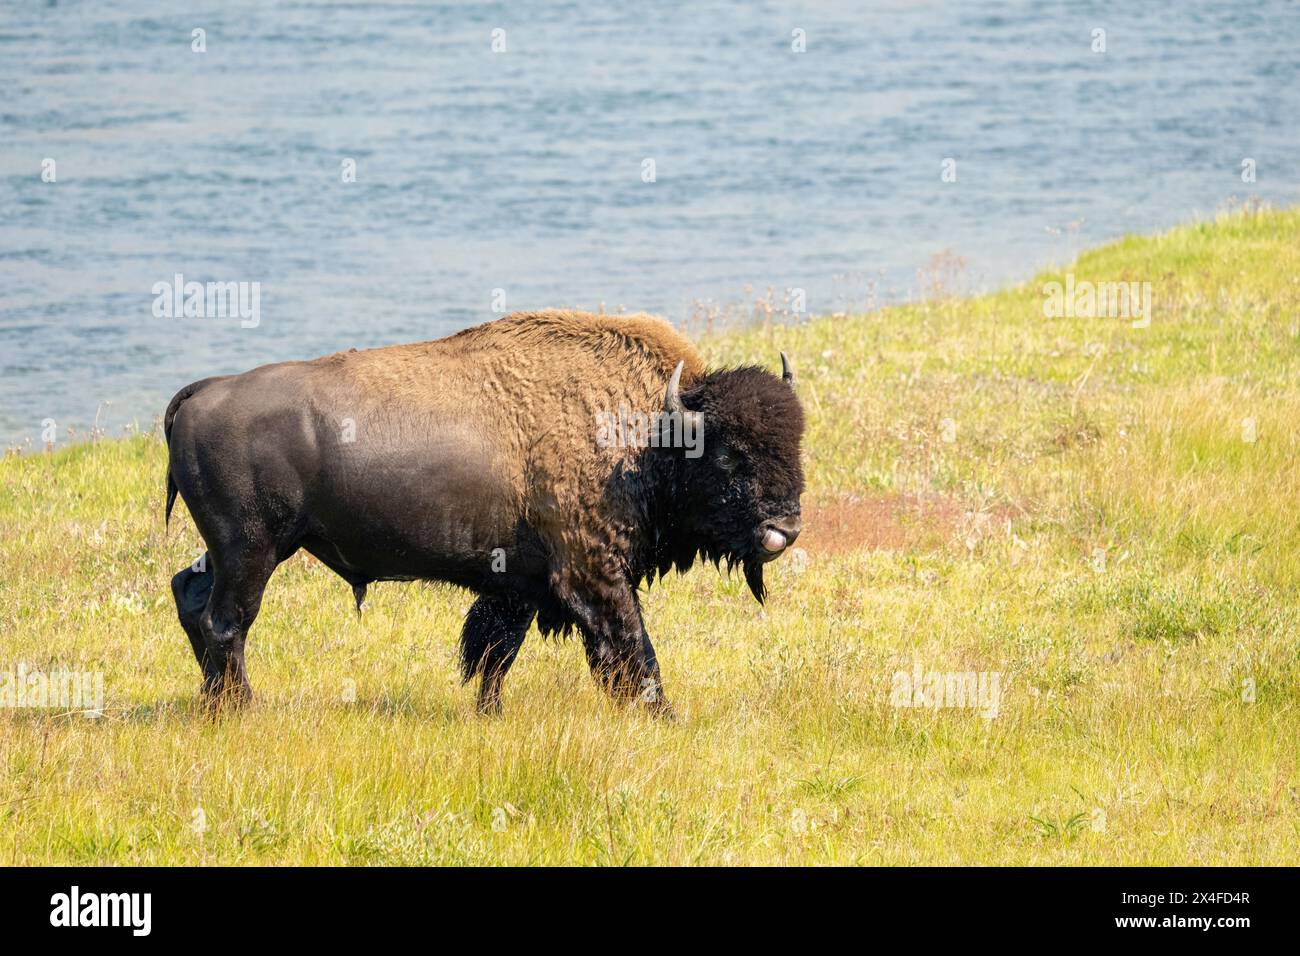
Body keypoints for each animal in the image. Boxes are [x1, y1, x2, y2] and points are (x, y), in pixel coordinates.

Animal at [164, 309, 804, 715]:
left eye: (795, 444)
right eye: (730, 455)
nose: (786, 528)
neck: (650, 433)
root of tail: (200, 392)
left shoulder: (519, 583)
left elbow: (495, 652)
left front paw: (487, 712)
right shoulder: (593, 574)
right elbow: (632, 650)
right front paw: (663, 716)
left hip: (232, 551)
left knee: (190, 596)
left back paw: (215, 704)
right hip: (253, 550)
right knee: (227, 622)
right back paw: (241, 708)